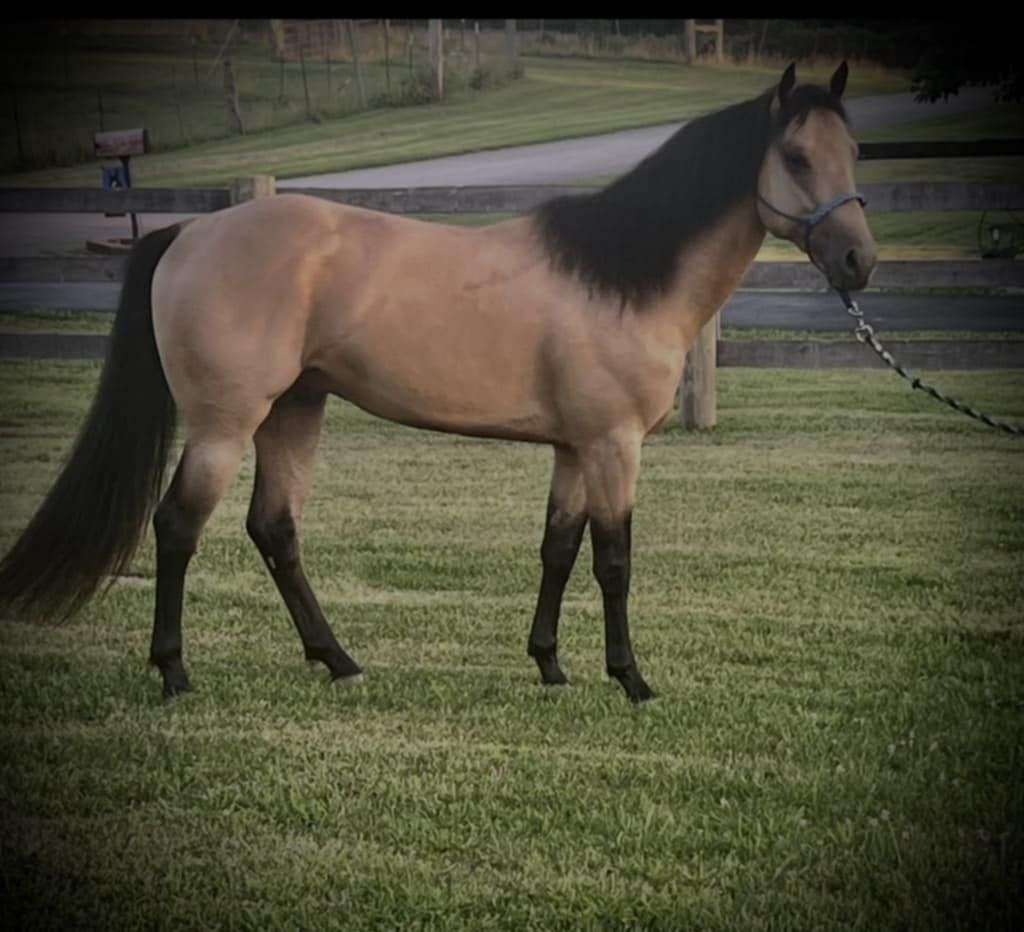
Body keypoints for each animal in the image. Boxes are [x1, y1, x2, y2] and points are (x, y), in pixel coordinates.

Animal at [0, 63, 876, 704]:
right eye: (797, 158)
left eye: (855, 154)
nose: (859, 261)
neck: (620, 276)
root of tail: (190, 232)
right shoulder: (612, 446)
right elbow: (614, 561)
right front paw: (631, 679)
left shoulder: (572, 448)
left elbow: (557, 549)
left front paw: (549, 665)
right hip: (225, 423)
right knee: (179, 527)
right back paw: (177, 673)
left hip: (295, 410)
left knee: (275, 529)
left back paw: (338, 659)